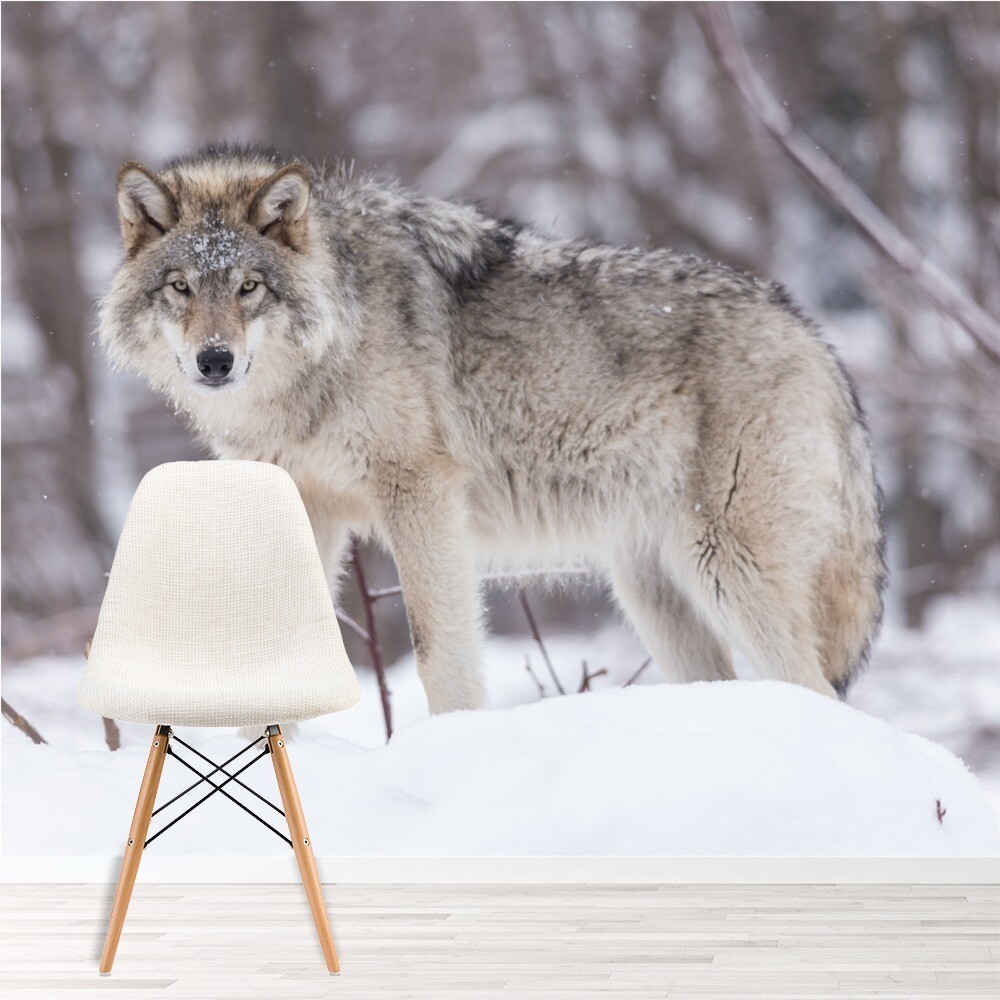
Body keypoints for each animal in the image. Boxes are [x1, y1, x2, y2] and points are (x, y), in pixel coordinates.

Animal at [100, 143, 885, 713]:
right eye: (181, 288)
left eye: (248, 288)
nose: (215, 360)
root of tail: (811, 332)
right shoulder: (302, 505)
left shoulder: (419, 492)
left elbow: (437, 651)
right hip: (656, 593)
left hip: (727, 570)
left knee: (818, 689)